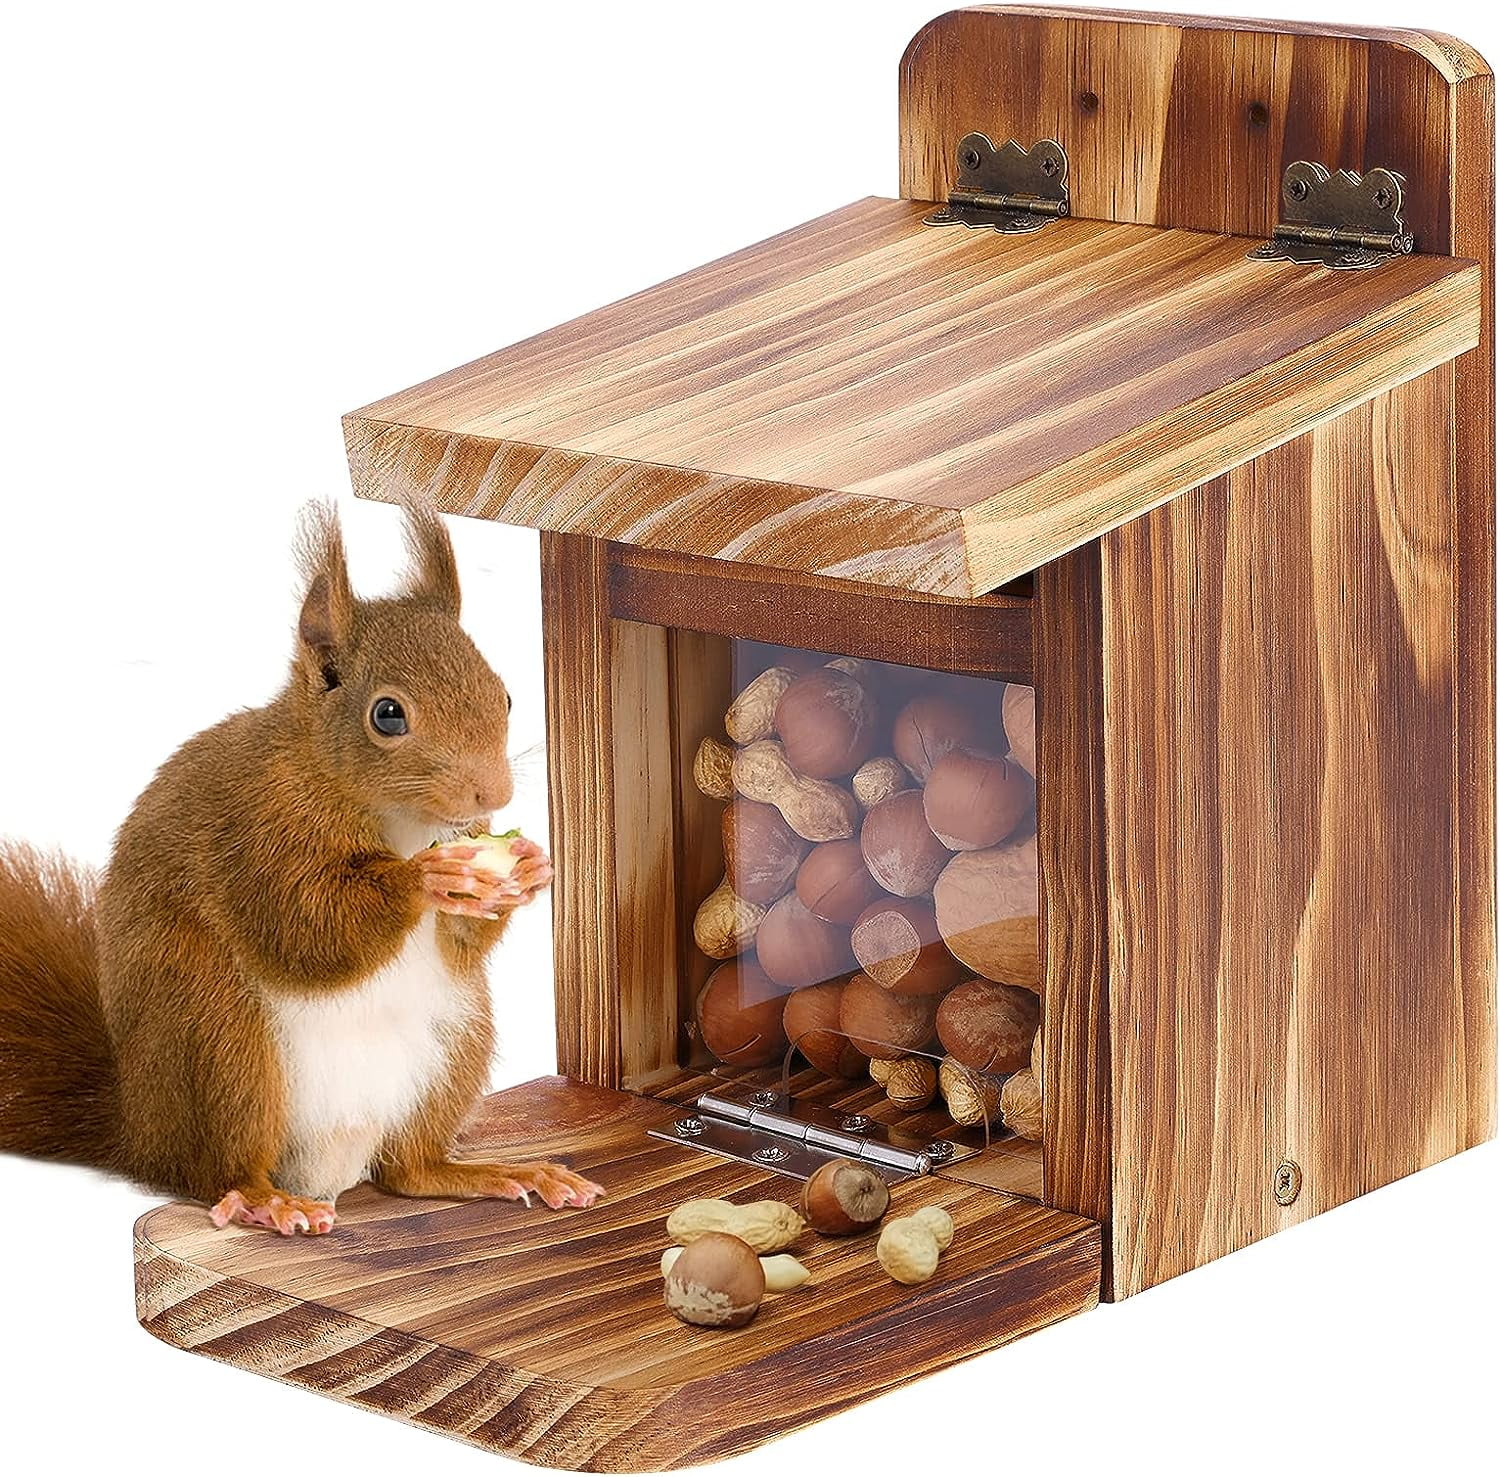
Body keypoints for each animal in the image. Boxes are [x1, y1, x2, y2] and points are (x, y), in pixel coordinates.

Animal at [0, 502, 603, 1234]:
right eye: (388, 714)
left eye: (506, 695)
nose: (493, 795)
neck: (397, 818)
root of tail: (139, 1130)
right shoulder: (255, 828)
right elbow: (305, 926)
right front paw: (422, 880)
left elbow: (461, 942)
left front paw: (531, 867)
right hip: (219, 1043)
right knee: (223, 1167)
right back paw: (266, 1200)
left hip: (457, 1041)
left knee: (409, 1171)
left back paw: (496, 1172)